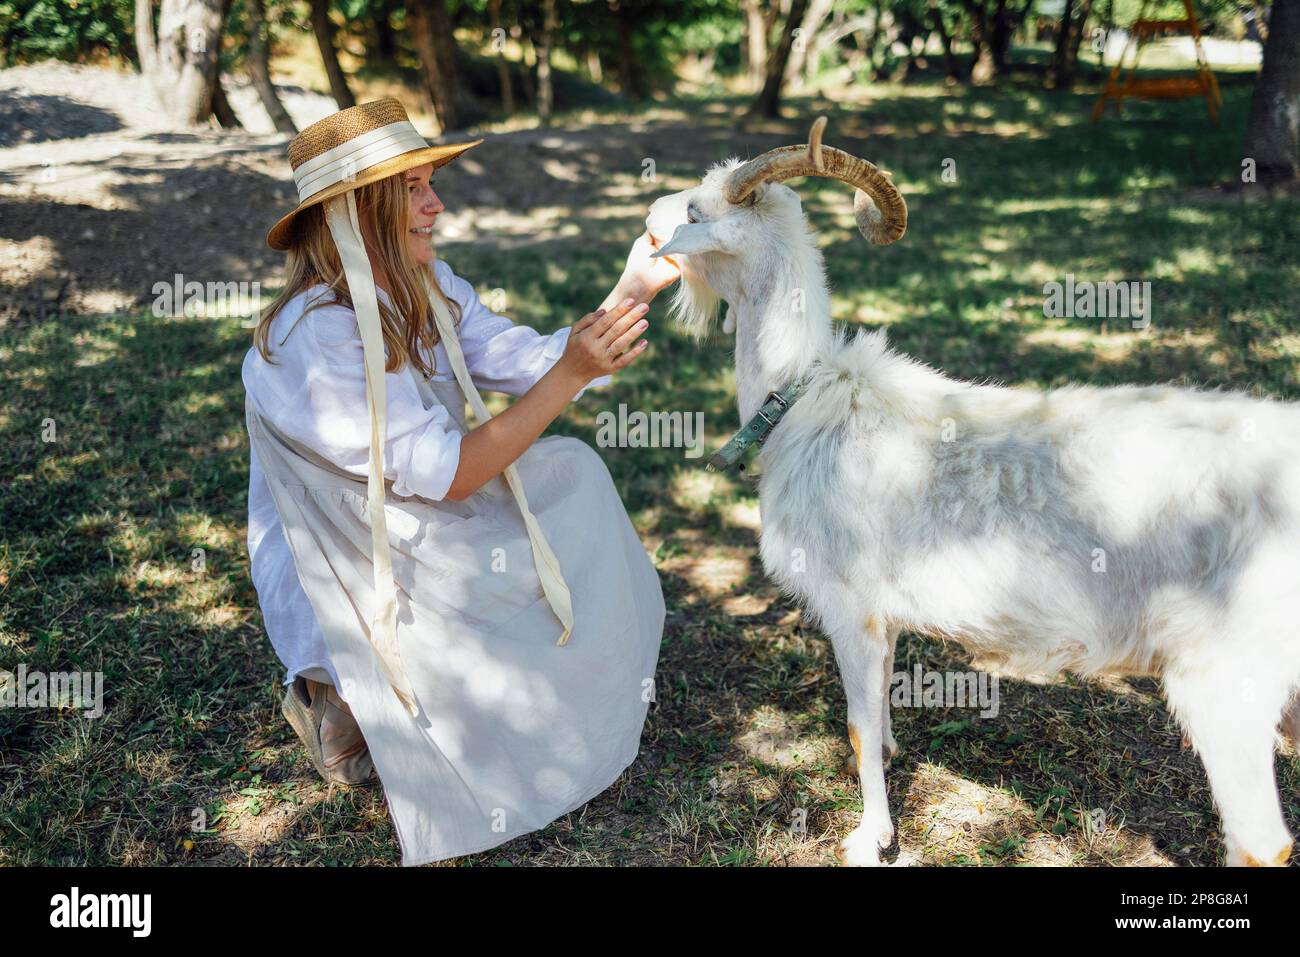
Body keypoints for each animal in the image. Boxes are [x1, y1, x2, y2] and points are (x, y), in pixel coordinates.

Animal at [646, 117, 1300, 867]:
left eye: (697, 214)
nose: (650, 218)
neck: (803, 399)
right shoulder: (882, 619)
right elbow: (878, 710)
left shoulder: (850, 607)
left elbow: (856, 726)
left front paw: (870, 837)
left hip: (1225, 680)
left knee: (1261, 842)